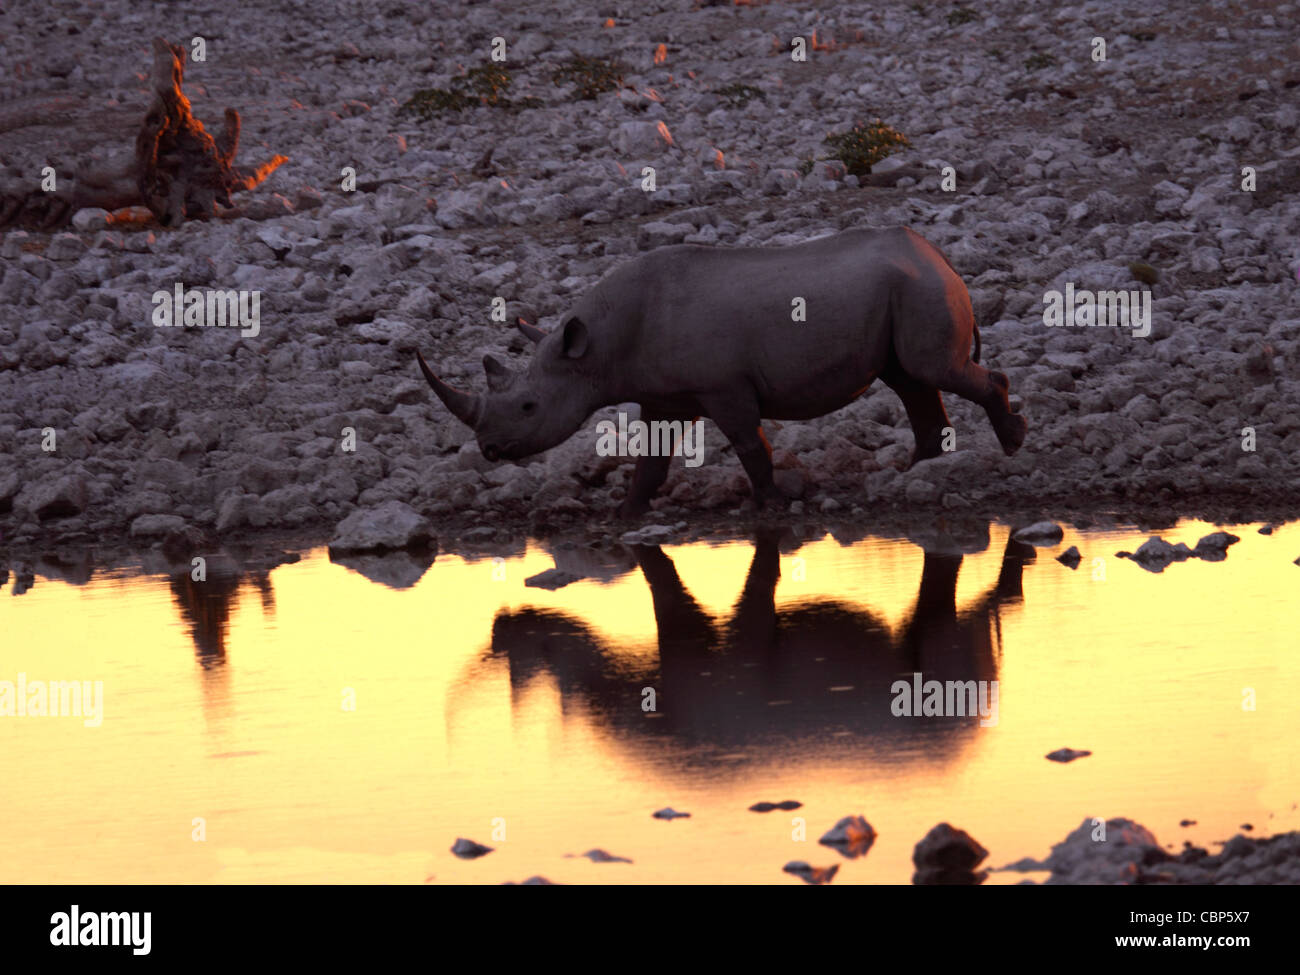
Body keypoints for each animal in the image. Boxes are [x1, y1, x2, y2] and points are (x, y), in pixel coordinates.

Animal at [416, 227, 1026, 515]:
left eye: (527, 407)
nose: (490, 450)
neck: (592, 352)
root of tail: (938, 255)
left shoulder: (724, 386)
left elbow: (750, 443)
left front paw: (771, 503)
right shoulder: (661, 395)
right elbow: (651, 459)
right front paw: (626, 512)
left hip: (920, 288)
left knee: (930, 370)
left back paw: (1011, 445)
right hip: (905, 289)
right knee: (909, 379)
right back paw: (916, 470)